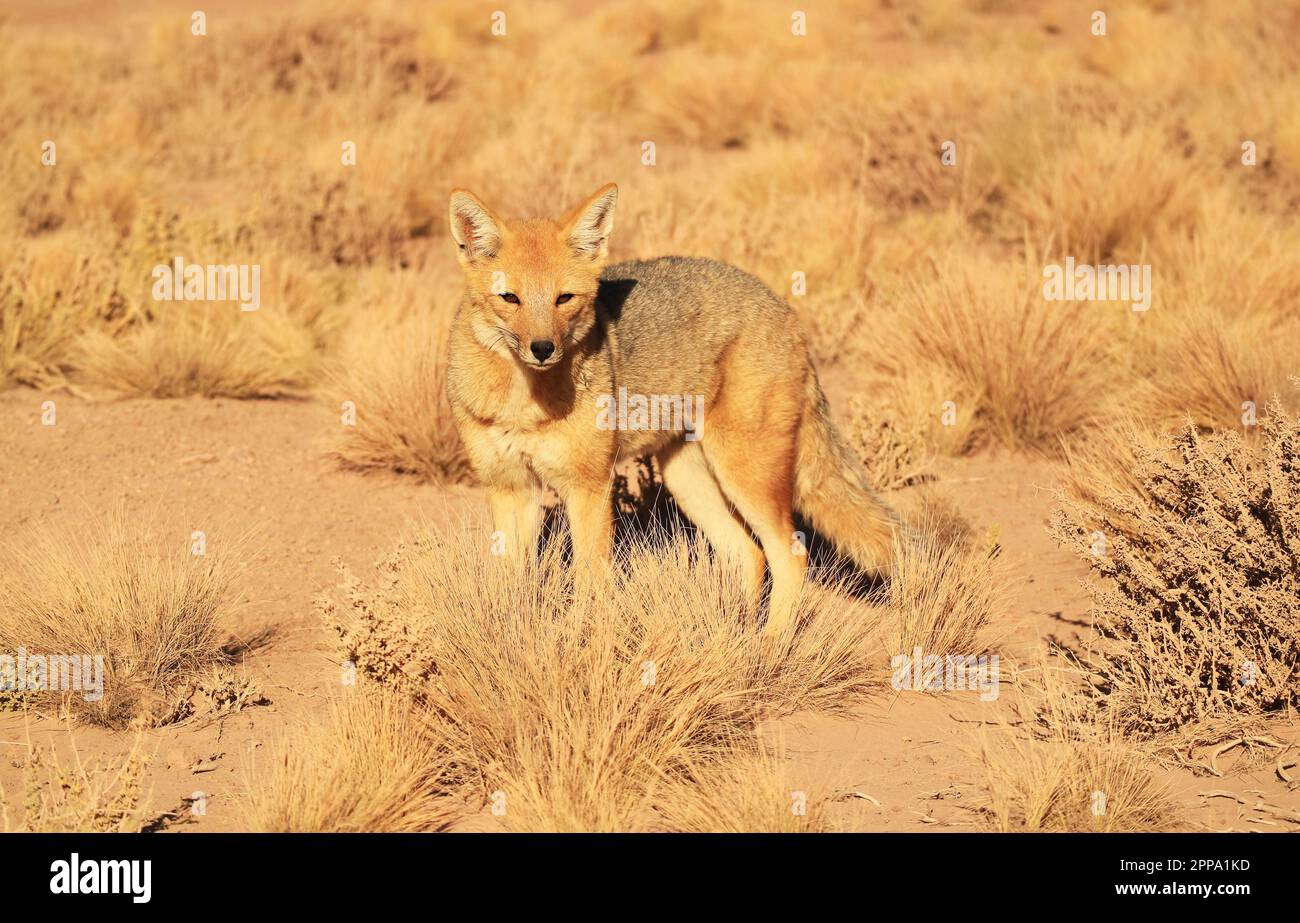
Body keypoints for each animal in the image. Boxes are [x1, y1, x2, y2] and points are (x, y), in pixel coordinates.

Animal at [445, 182, 903, 637]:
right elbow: (513, 586)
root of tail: (783, 308)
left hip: (744, 476)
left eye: (564, 299)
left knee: (790, 554)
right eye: (510, 297)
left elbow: (590, 583)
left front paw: (581, 639)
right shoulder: (511, 487)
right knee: (749, 553)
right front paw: (511, 634)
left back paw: (769, 645)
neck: (522, 404)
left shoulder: (588, 486)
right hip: (688, 481)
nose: (543, 348)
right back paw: (733, 635)